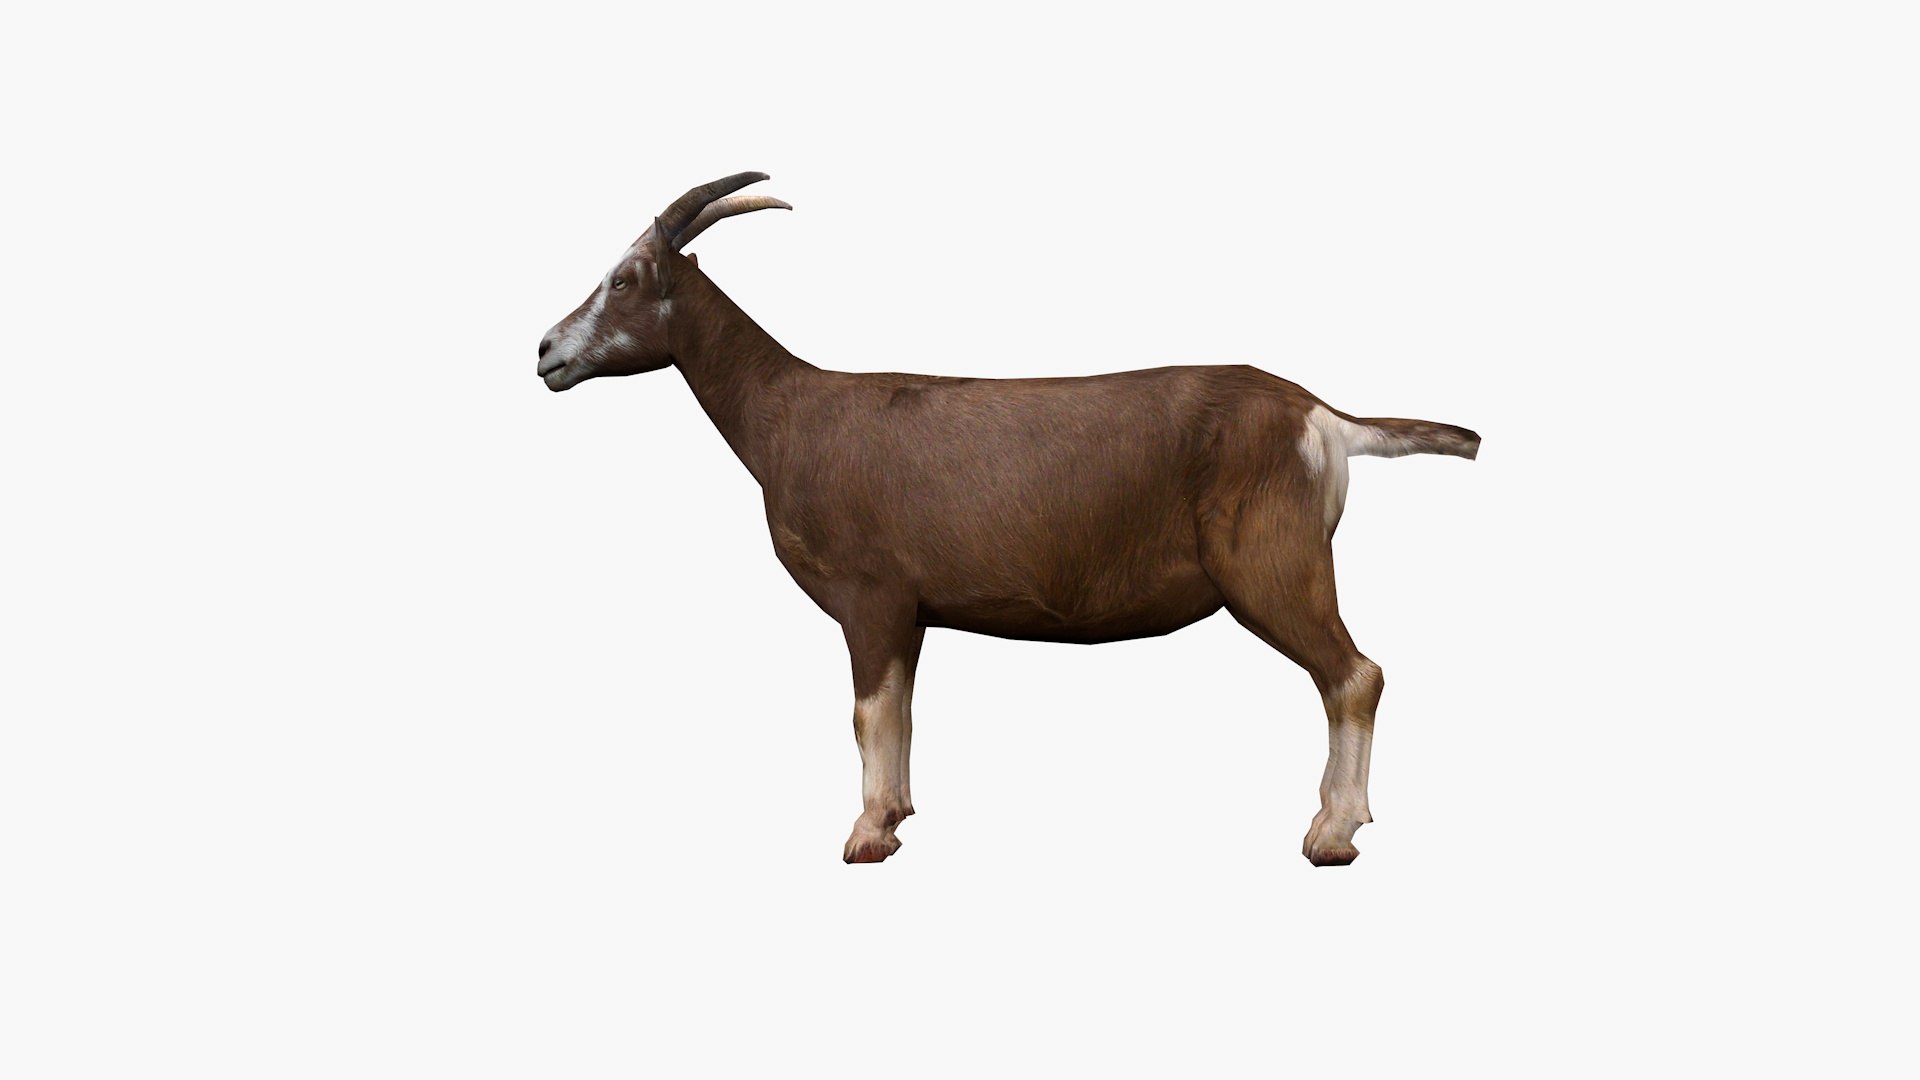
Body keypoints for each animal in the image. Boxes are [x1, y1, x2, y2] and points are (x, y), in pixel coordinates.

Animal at [537, 172, 1479, 865]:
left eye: (626, 278)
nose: (545, 351)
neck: (788, 414)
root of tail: (1324, 419)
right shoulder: (911, 610)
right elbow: (903, 709)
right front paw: (899, 813)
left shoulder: (870, 596)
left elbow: (868, 714)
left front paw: (866, 836)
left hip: (1273, 563)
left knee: (1353, 675)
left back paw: (1331, 836)